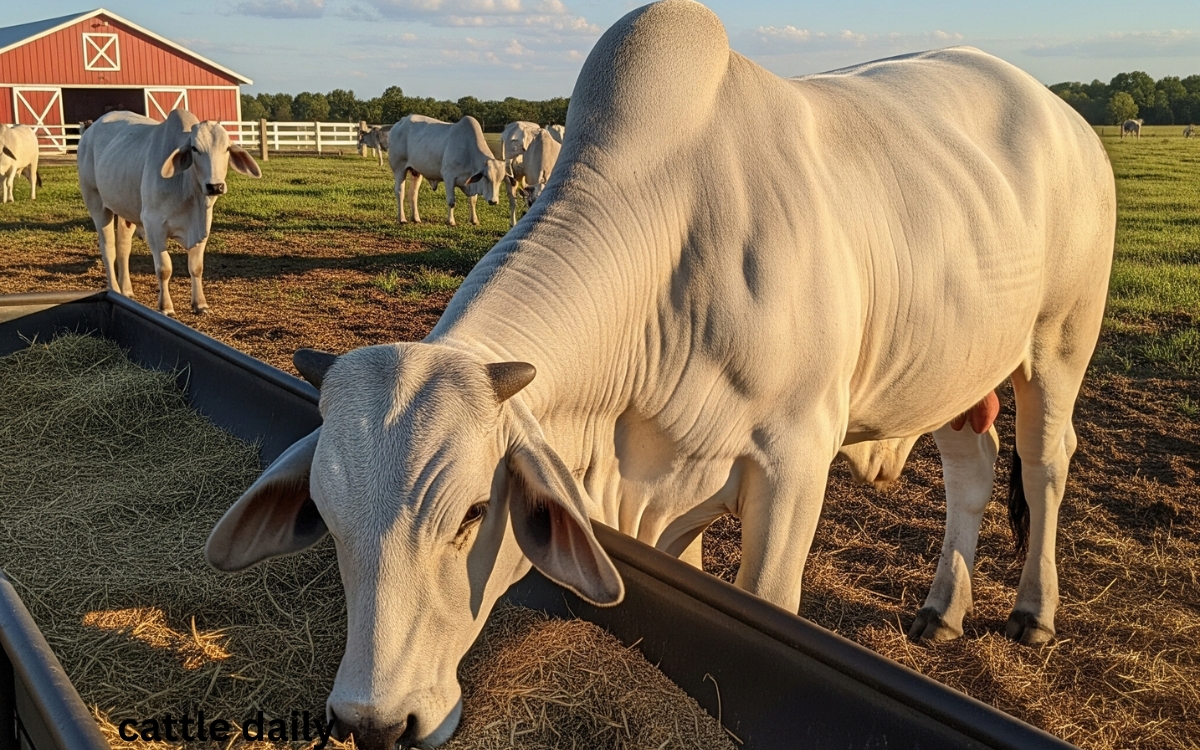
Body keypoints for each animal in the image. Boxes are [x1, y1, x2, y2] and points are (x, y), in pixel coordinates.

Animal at [77, 110, 261, 316]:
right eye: (195, 148)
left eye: (227, 148)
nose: (215, 186)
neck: (188, 189)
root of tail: (89, 131)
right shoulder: (153, 225)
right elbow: (164, 268)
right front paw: (166, 307)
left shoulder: (203, 226)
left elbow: (196, 267)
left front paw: (200, 304)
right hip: (97, 204)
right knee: (108, 248)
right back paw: (115, 289)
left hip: (127, 212)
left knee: (123, 248)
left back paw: (127, 291)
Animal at [205, 1, 1115, 747]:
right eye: (325, 515)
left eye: (471, 514)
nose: (377, 722)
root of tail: (1062, 113)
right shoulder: (668, 482)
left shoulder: (794, 462)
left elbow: (768, 604)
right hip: (959, 371)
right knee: (973, 468)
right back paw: (941, 612)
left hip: (1058, 342)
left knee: (1045, 461)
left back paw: (1033, 614)